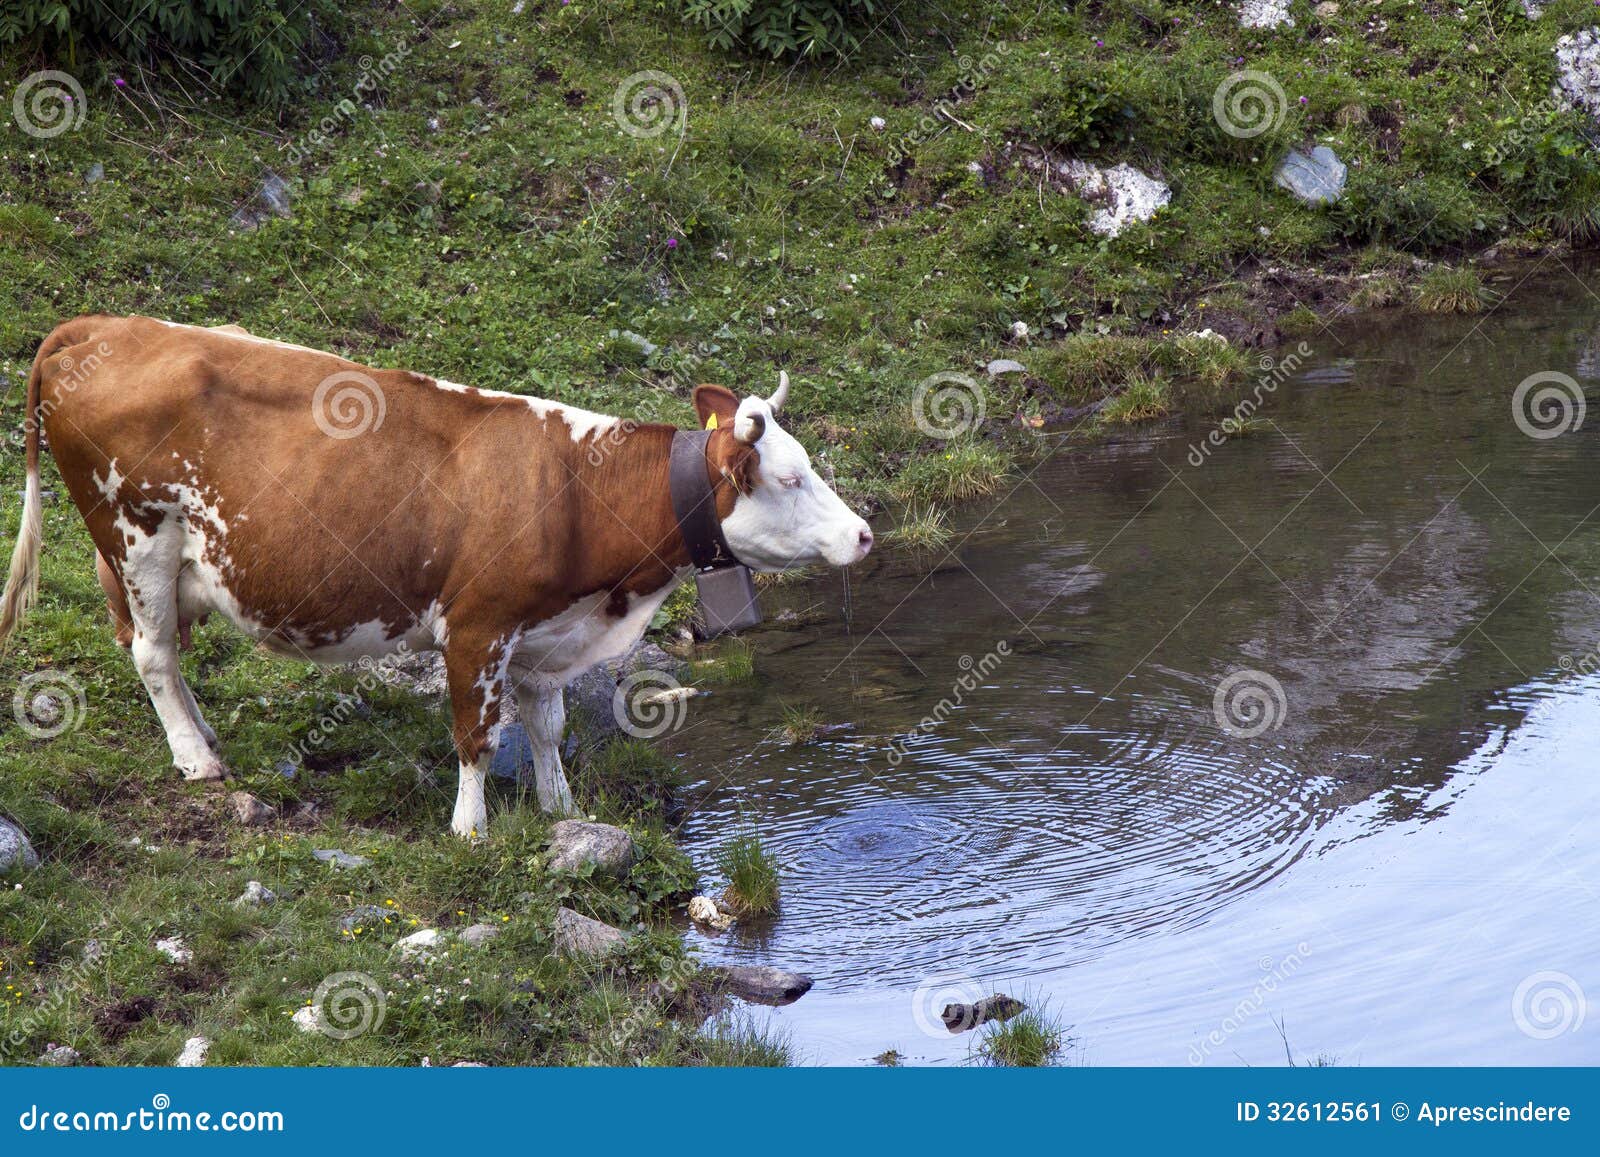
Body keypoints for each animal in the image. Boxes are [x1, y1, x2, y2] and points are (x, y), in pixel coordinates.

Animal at [0, 316, 873, 837]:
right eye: (792, 477)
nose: (864, 534)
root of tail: (110, 326)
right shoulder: (477, 625)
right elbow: (476, 736)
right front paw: (470, 829)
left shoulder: (543, 633)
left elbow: (547, 726)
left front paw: (562, 809)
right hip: (136, 535)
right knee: (152, 652)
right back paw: (196, 759)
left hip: (162, 559)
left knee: (161, 647)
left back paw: (204, 731)